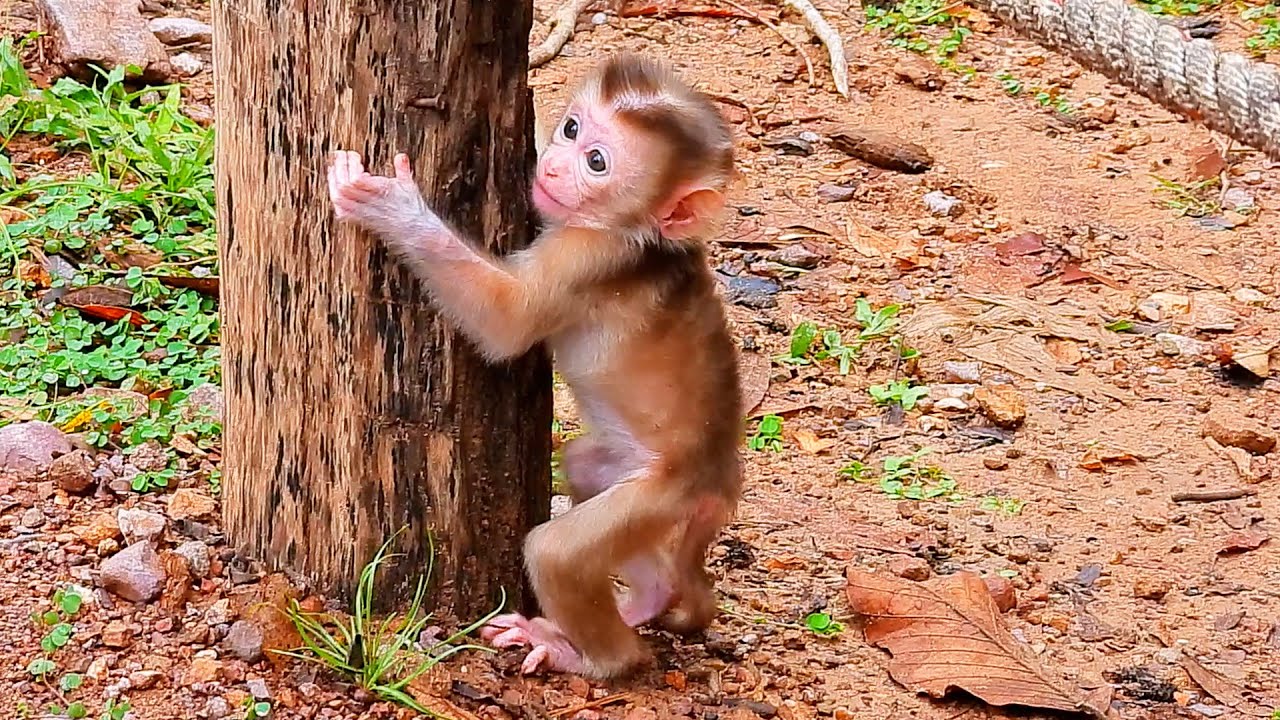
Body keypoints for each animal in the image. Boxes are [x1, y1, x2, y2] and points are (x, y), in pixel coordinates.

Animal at [327, 53, 743, 679]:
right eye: (570, 128)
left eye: (596, 162)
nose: (551, 166)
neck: (634, 234)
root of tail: (719, 478)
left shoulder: (585, 256)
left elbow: (507, 322)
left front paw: (394, 209)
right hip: (628, 474)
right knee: (587, 467)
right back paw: (650, 597)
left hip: (662, 495)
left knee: (558, 555)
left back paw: (588, 656)